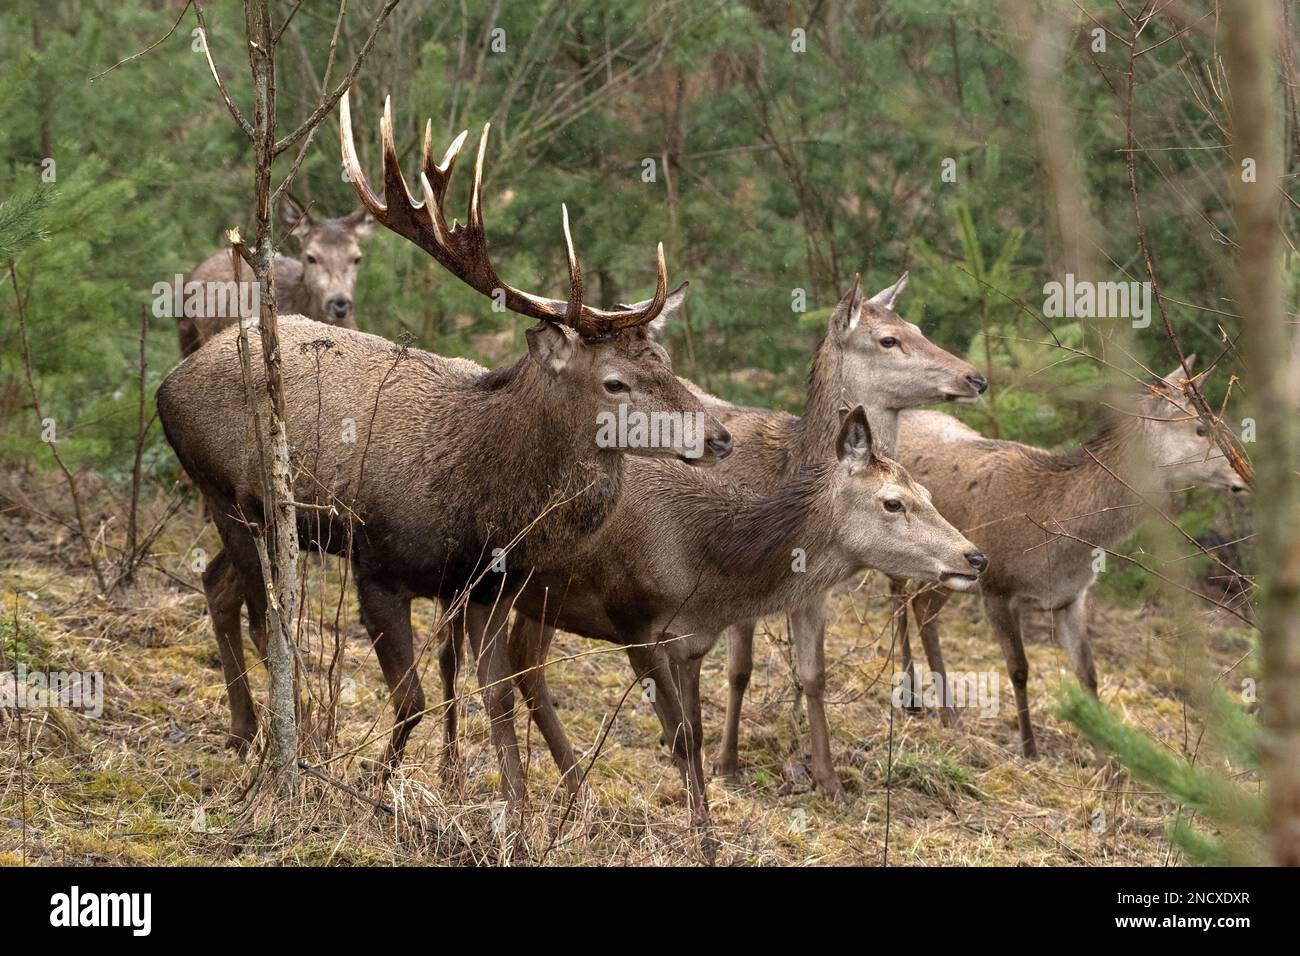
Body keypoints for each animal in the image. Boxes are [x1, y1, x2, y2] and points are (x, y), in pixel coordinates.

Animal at [438, 278, 989, 829]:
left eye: (917, 326)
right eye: (889, 339)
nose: (976, 377)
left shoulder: (806, 596)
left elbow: (811, 676)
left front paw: (829, 781)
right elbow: (736, 674)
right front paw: (728, 769)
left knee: (518, 660)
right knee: (464, 654)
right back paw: (459, 774)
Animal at [890, 358, 1248, 757]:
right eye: (1202, 428)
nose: (1244, 474)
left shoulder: (1071, 597)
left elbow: (1088, 674)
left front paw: (1110, 762)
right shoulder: (997, 588)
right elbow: (1019, 668)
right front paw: (1030, 749)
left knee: (906, 597)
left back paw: (915, 697)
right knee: (915, 603)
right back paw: (946, 713)